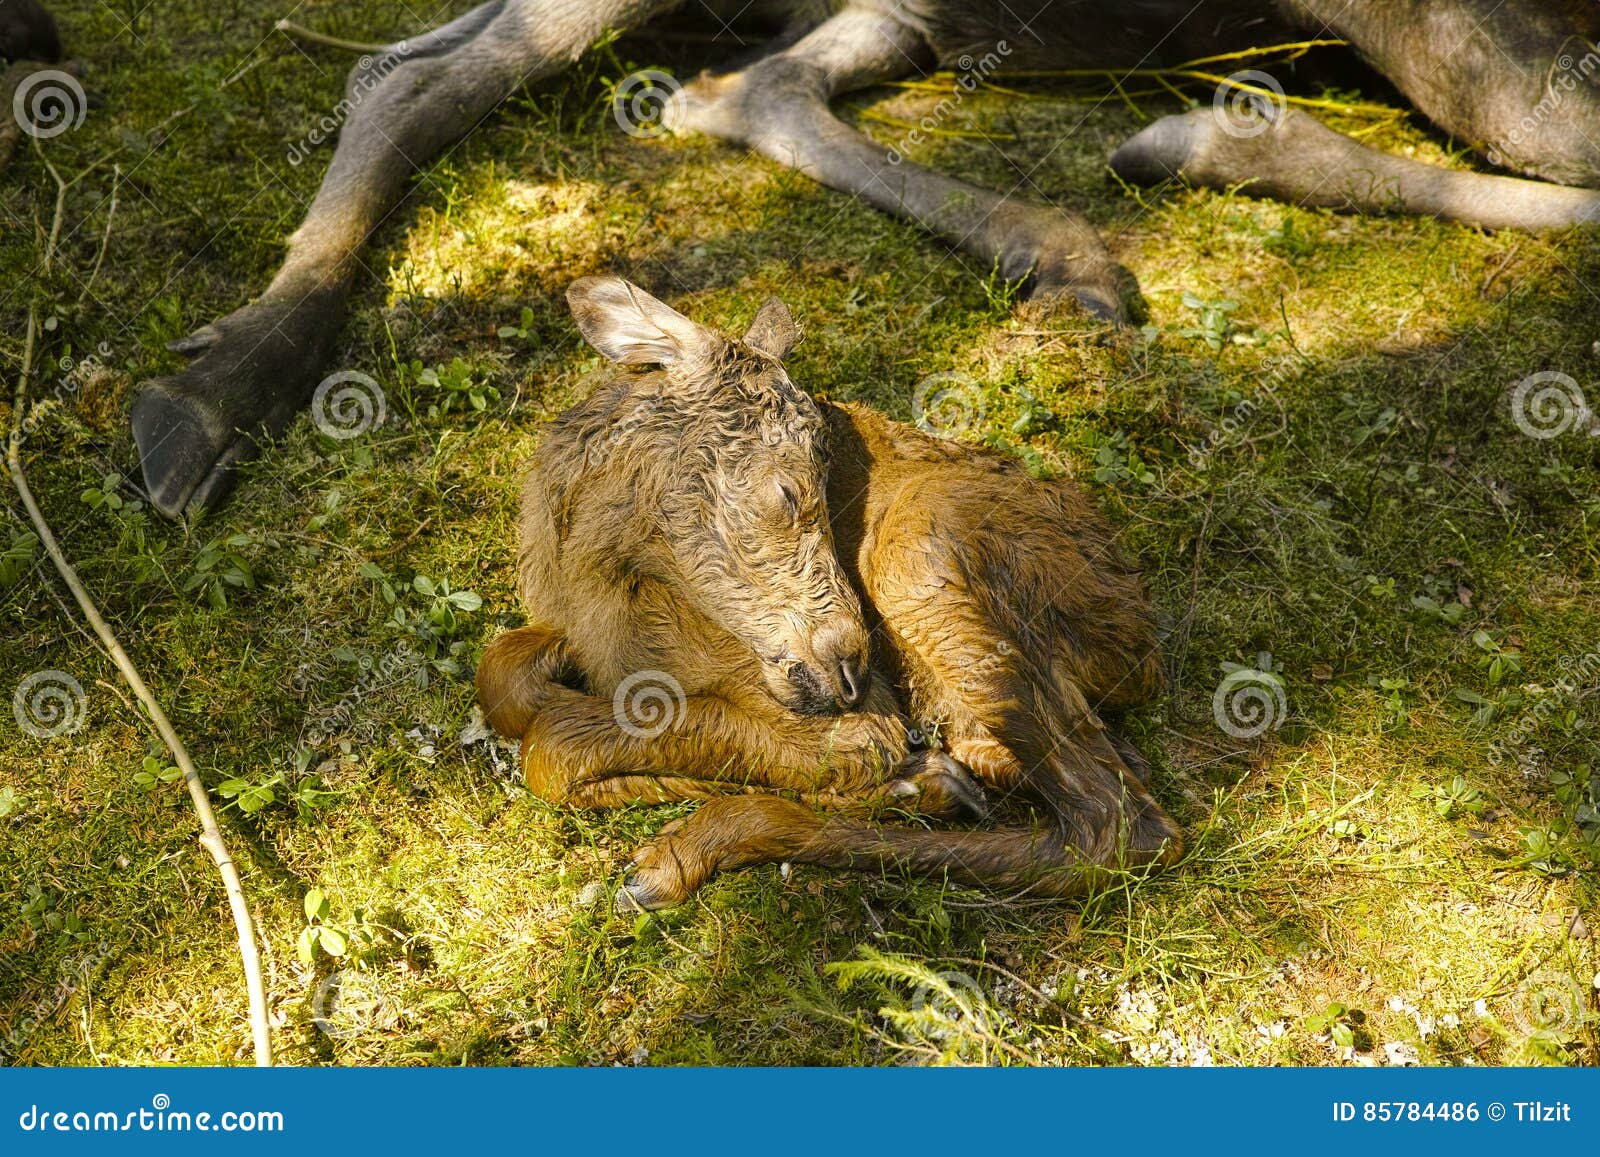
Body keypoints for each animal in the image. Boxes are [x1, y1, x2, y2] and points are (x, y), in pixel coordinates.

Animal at [474, 275, 1179, 909]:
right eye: (787, 493)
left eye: (825, 472)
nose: (848, 666)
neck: (591, 572)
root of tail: (1144, 652)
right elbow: (504, 677)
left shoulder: (861, 709)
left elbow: (552, 747)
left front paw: (910, 781)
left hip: (914, 551)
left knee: (1120, 826)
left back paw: (687, 850)